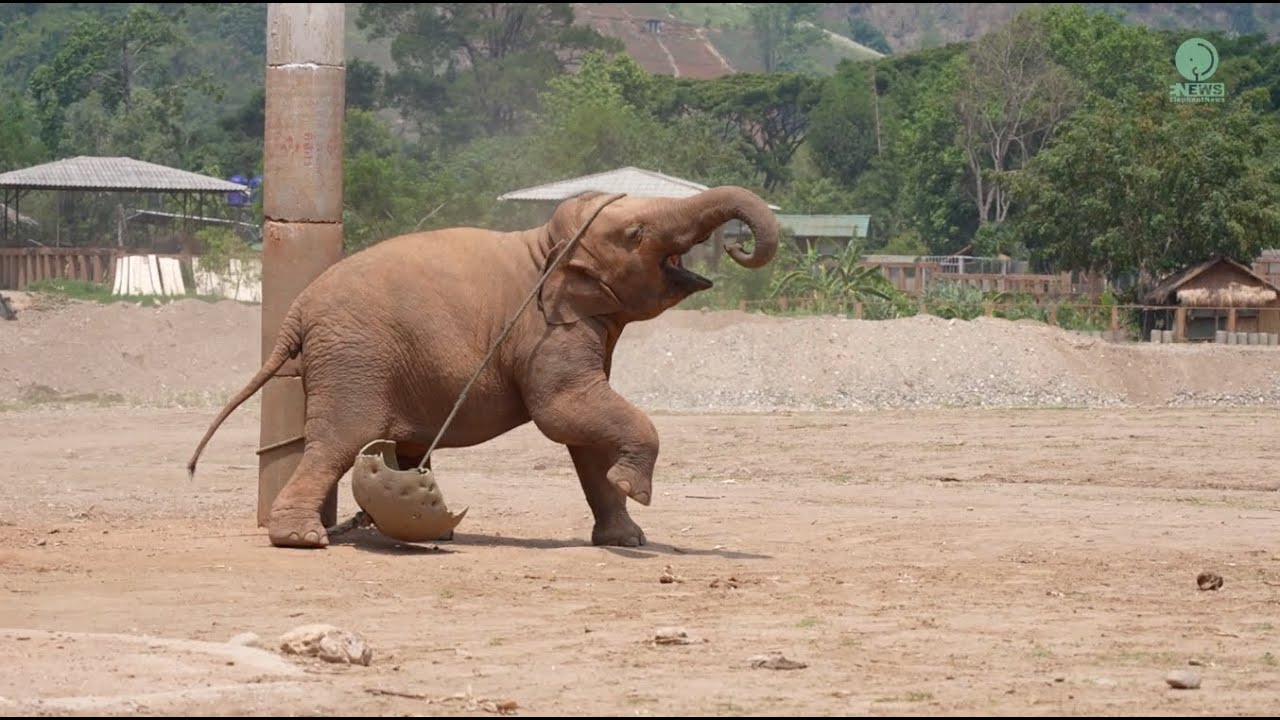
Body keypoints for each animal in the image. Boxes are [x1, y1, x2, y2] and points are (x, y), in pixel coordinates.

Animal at [186, 185, 779, 549]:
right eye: (635, 235)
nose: (736, 244)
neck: (547, 246)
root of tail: (298, 310)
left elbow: (583, 435)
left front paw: (627, 538)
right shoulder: (545, 330)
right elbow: (562, 412)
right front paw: (636, 493)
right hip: (352, 360)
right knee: (339, 442)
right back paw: (304, 540)